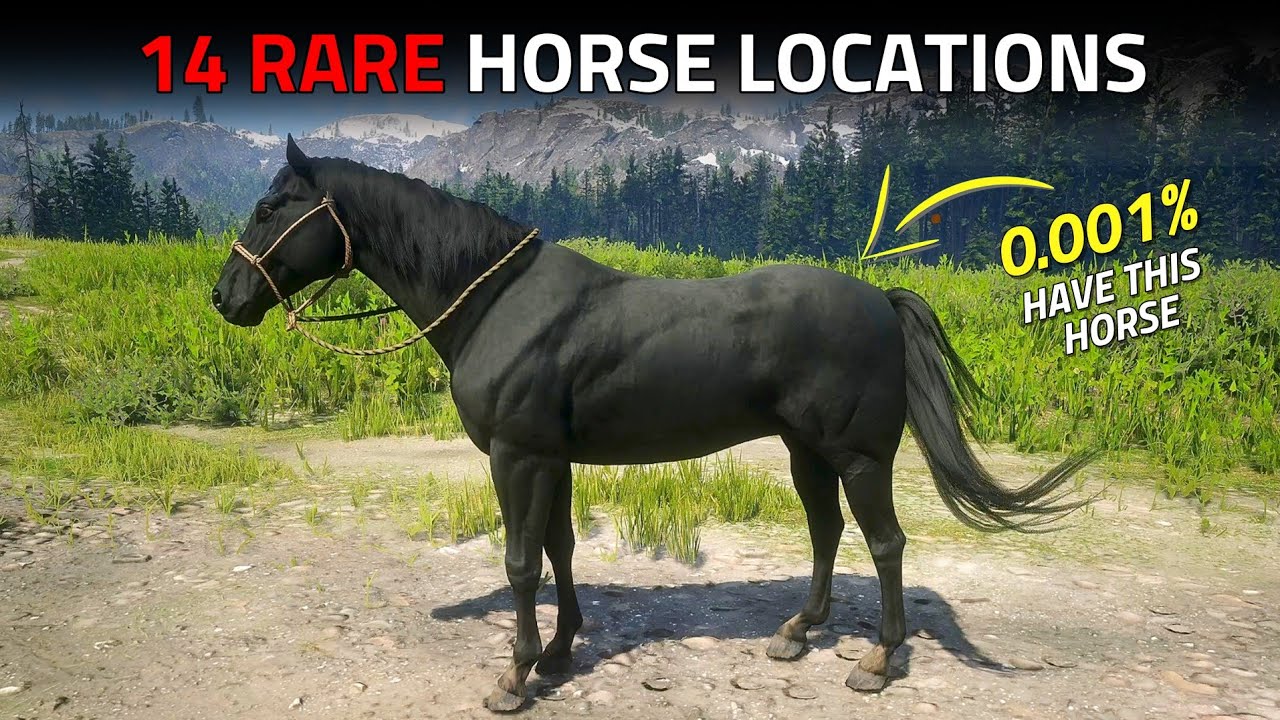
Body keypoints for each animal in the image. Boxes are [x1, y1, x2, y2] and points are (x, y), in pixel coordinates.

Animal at [212, 136, 1093, 712]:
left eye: (270, 207)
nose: (225, 297)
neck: (497, 302)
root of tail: (877, 297)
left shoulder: (516, 457)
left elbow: (521, 562)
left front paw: (515, 675)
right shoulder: (551, 459)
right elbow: (560, 551)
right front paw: (560, 652)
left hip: (857, 456)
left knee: (884, 545)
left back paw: (877, 659)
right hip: (805, 451)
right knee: (827, 532)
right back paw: (797, 632)